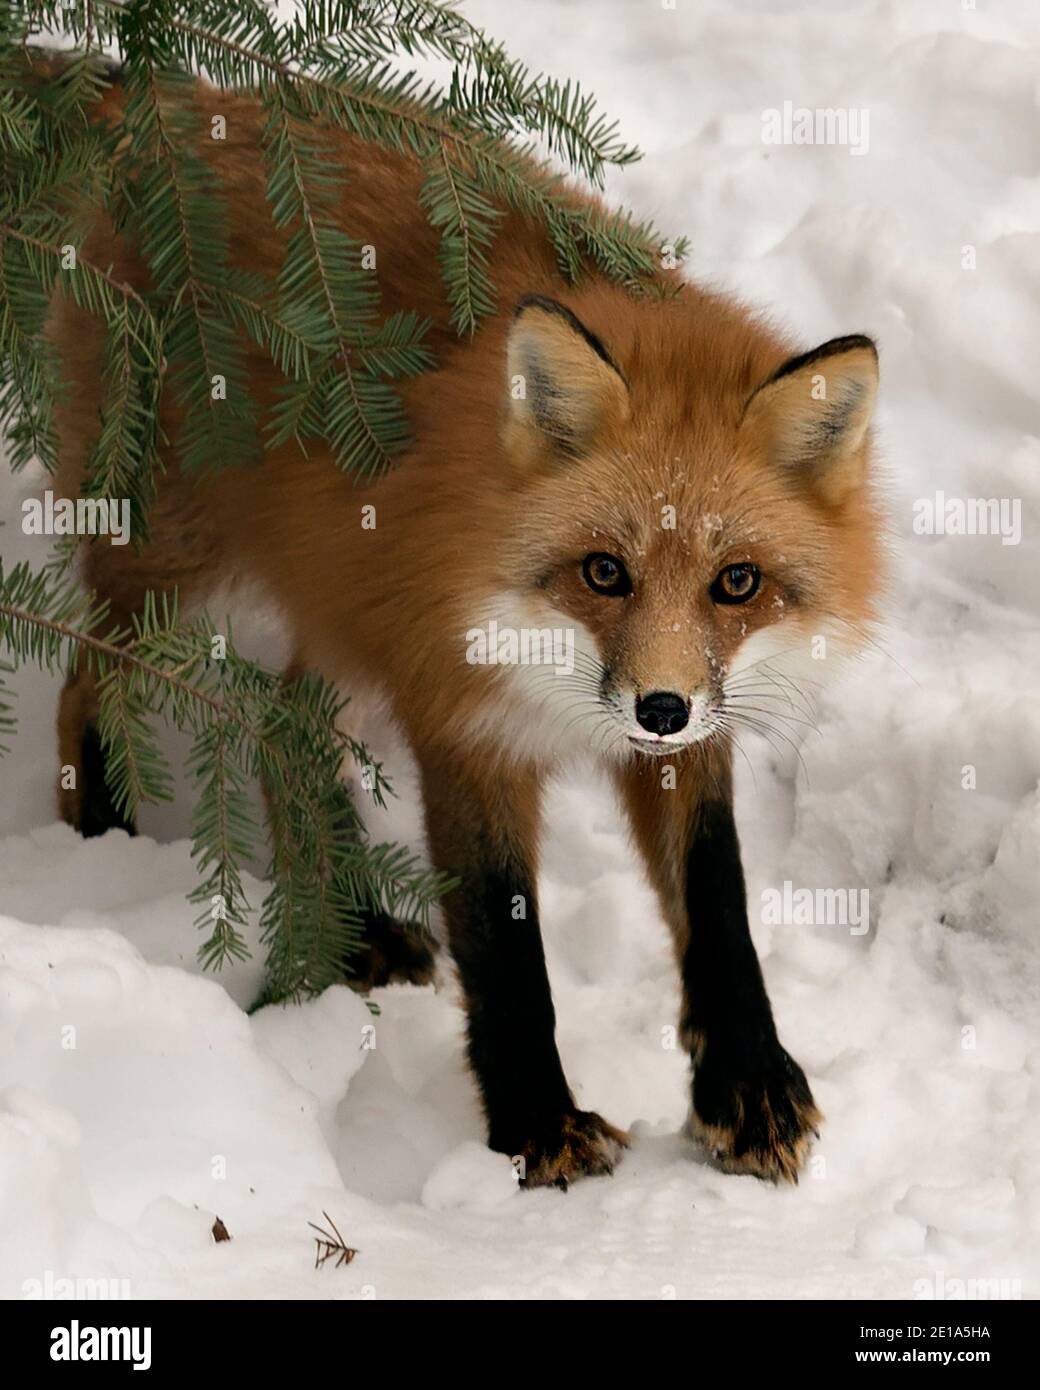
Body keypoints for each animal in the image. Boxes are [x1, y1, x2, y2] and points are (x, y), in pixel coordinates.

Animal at [40, 59, 883, 1188]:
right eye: (603, 571)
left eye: (736, 583)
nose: (658, 708)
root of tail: (177, 100)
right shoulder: (463, 720)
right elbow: (505, 950)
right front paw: (538, 1127)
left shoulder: (687, 733)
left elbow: (718, 903)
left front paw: (747, 1081)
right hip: (177, 562)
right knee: (90, 679)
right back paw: (108, 841)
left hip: (345, 606)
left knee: (282, 730)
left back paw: (353, 926)